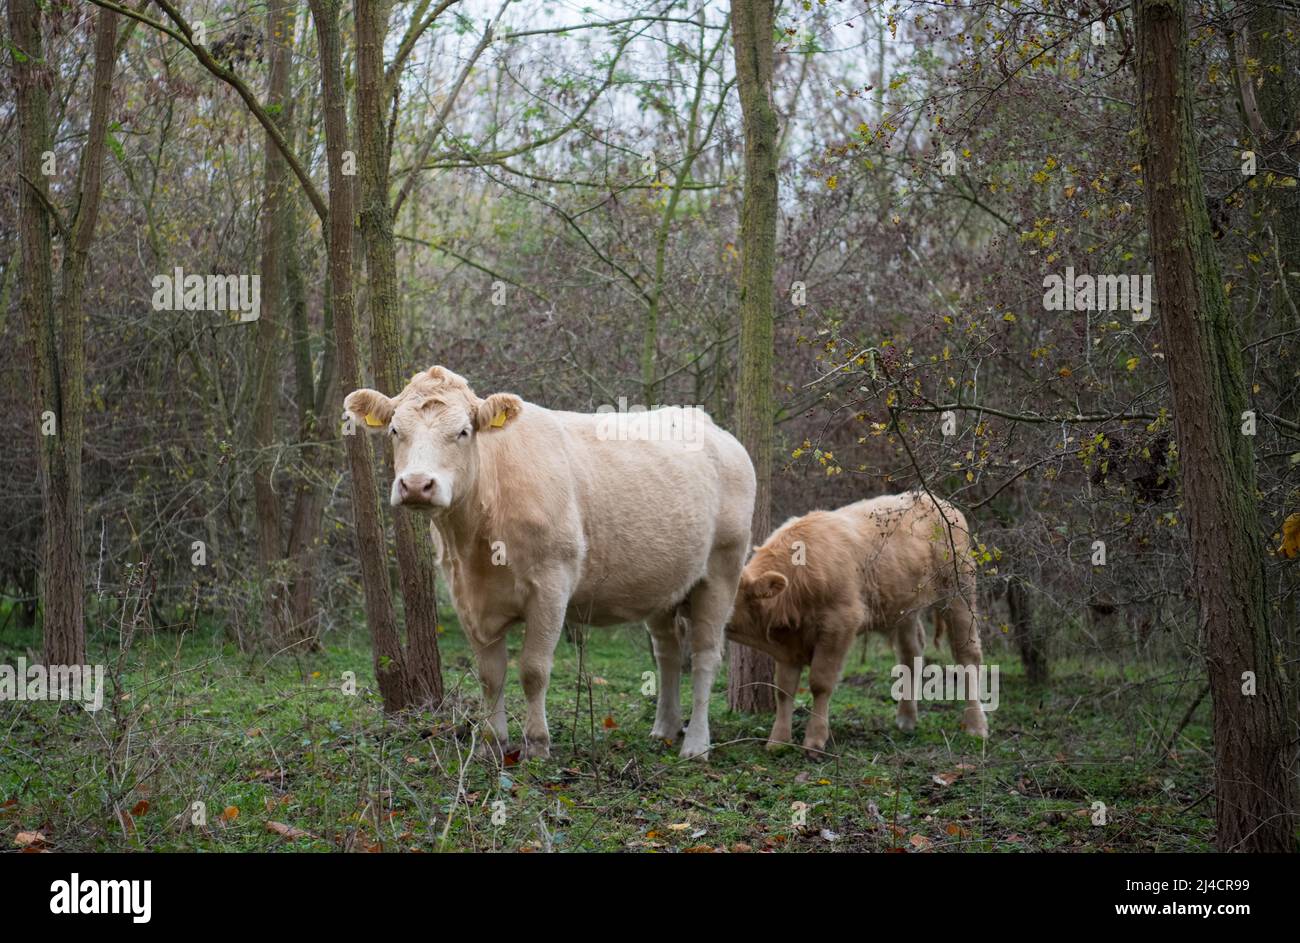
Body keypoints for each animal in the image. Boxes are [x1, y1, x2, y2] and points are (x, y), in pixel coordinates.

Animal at [344, 367, 756, 760]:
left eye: (462, 432)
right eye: (395, 430)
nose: (416, 484)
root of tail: (717, 430)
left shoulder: (551, 585)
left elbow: (533, 669)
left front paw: (537, 744)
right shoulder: (465, 595)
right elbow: (490, 674)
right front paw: (492, 744)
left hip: (722, 570)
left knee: (705, 656)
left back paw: (696, 745)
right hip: (663, 585)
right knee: (667, 652)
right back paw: (665, 729)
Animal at [725, 491, 989, 757]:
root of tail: (932, 498)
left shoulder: (839, 625)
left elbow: (820, 683)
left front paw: (814, 741)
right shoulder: (788, 645)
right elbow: (784, 689)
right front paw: (778, 741)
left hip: (958, 589)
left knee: (967, 655)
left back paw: (976, 725)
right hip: (905, 607)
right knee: (911, 654)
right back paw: (906, 719)